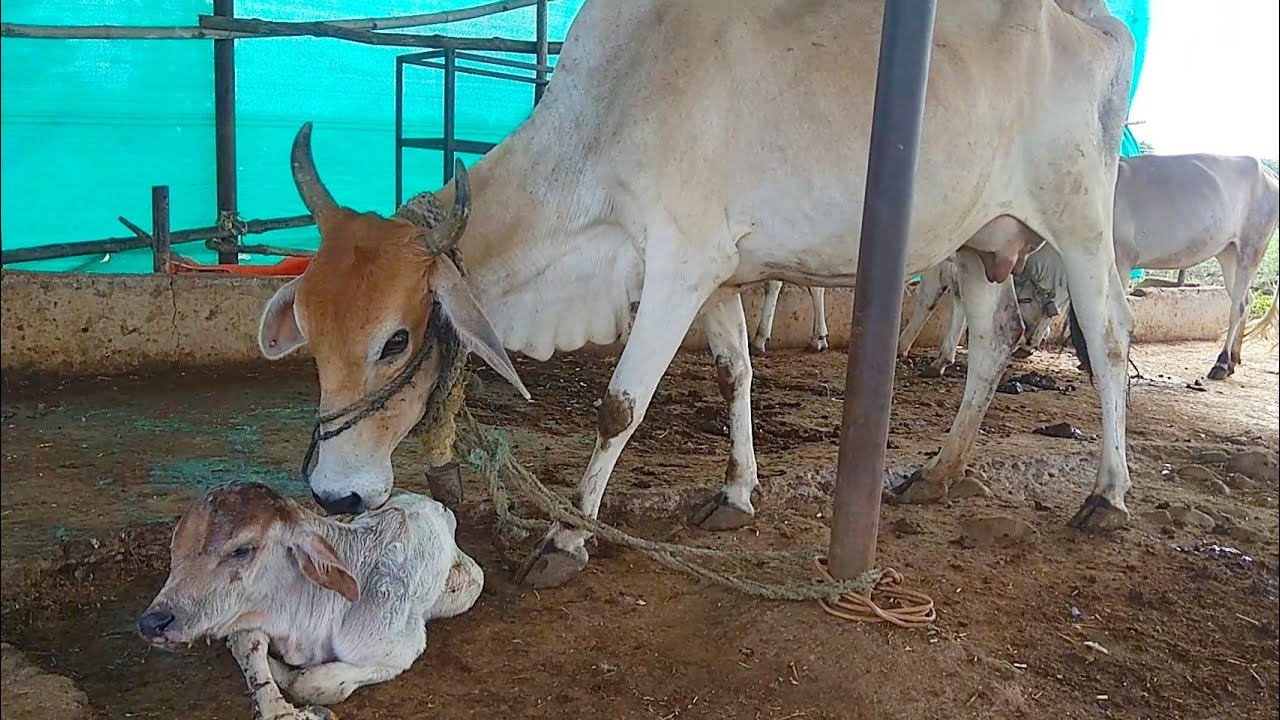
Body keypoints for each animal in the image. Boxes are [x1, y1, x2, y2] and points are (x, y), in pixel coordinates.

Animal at [138, 484, 483, 715]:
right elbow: (250, 648)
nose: (153, 622)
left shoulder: (399, 650)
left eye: (241, 550)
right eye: (176, 547)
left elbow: (312, 684)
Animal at [256, 0, 1137, 588]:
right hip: (979, 242)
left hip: (1079, 221)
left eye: (394, 341)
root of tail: (1097, 20)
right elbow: (732, 373)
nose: (333, 494)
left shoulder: (679, 264)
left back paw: (1108, 496)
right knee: (992, 342)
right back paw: (939, 473)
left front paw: (565, 540)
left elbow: (620, 406)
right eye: (312, 336)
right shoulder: (719, 276)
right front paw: (737, 492)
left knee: (1110, 342)